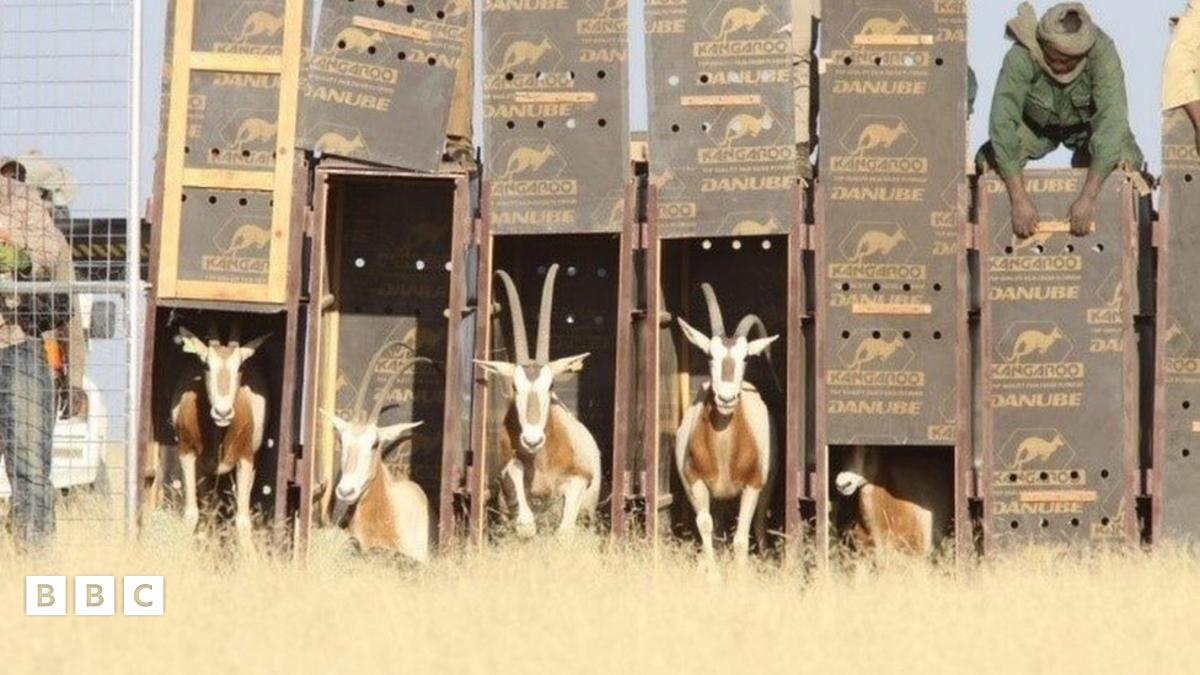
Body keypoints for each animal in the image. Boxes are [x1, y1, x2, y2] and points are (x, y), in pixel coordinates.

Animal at [171, 324, 271, 546]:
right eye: (206, 365)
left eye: (241, 366)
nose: (222, 412)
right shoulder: (187, 455)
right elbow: (192, 514)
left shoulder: (245, 459)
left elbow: (242, 521)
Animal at [476, 265, 601, 539]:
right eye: (514, 386)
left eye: (551, 385)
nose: (532, 440)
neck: (540, 463)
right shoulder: (509, 473)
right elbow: (525, 522)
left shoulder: (579, 480)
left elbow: (564, 532)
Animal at [675, 284, 779, 575]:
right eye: (710, 355)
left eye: (745, 358)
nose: (726, 398)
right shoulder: (695, 482)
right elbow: (706, 525)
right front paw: (713, 576)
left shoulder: (753, 485)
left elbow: (742, 537)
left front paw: (740, 577)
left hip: (766, 487)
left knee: (759, 523)